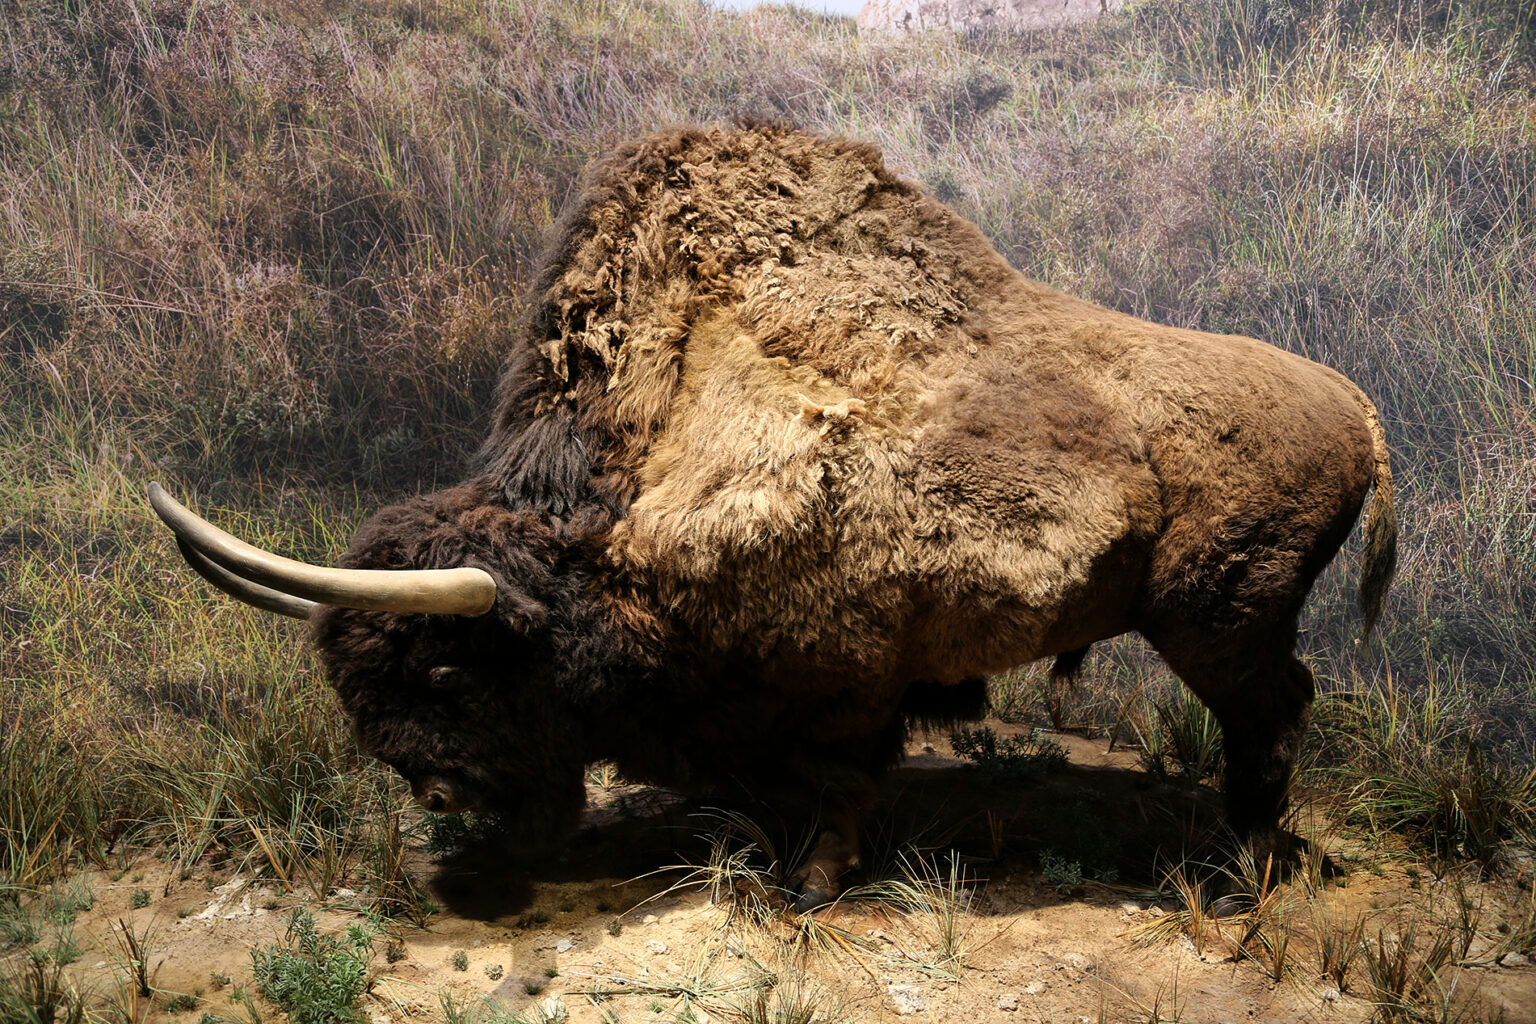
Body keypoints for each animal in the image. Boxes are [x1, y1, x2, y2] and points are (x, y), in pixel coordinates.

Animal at [150, 123, 1396, 907]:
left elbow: (831, 786)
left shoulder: (837, 678)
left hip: (1218, 620)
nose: (440, 793)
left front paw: (806, 888)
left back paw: (1232, 877)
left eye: (449, 670)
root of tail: (1361, 410)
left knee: (1272, 713)